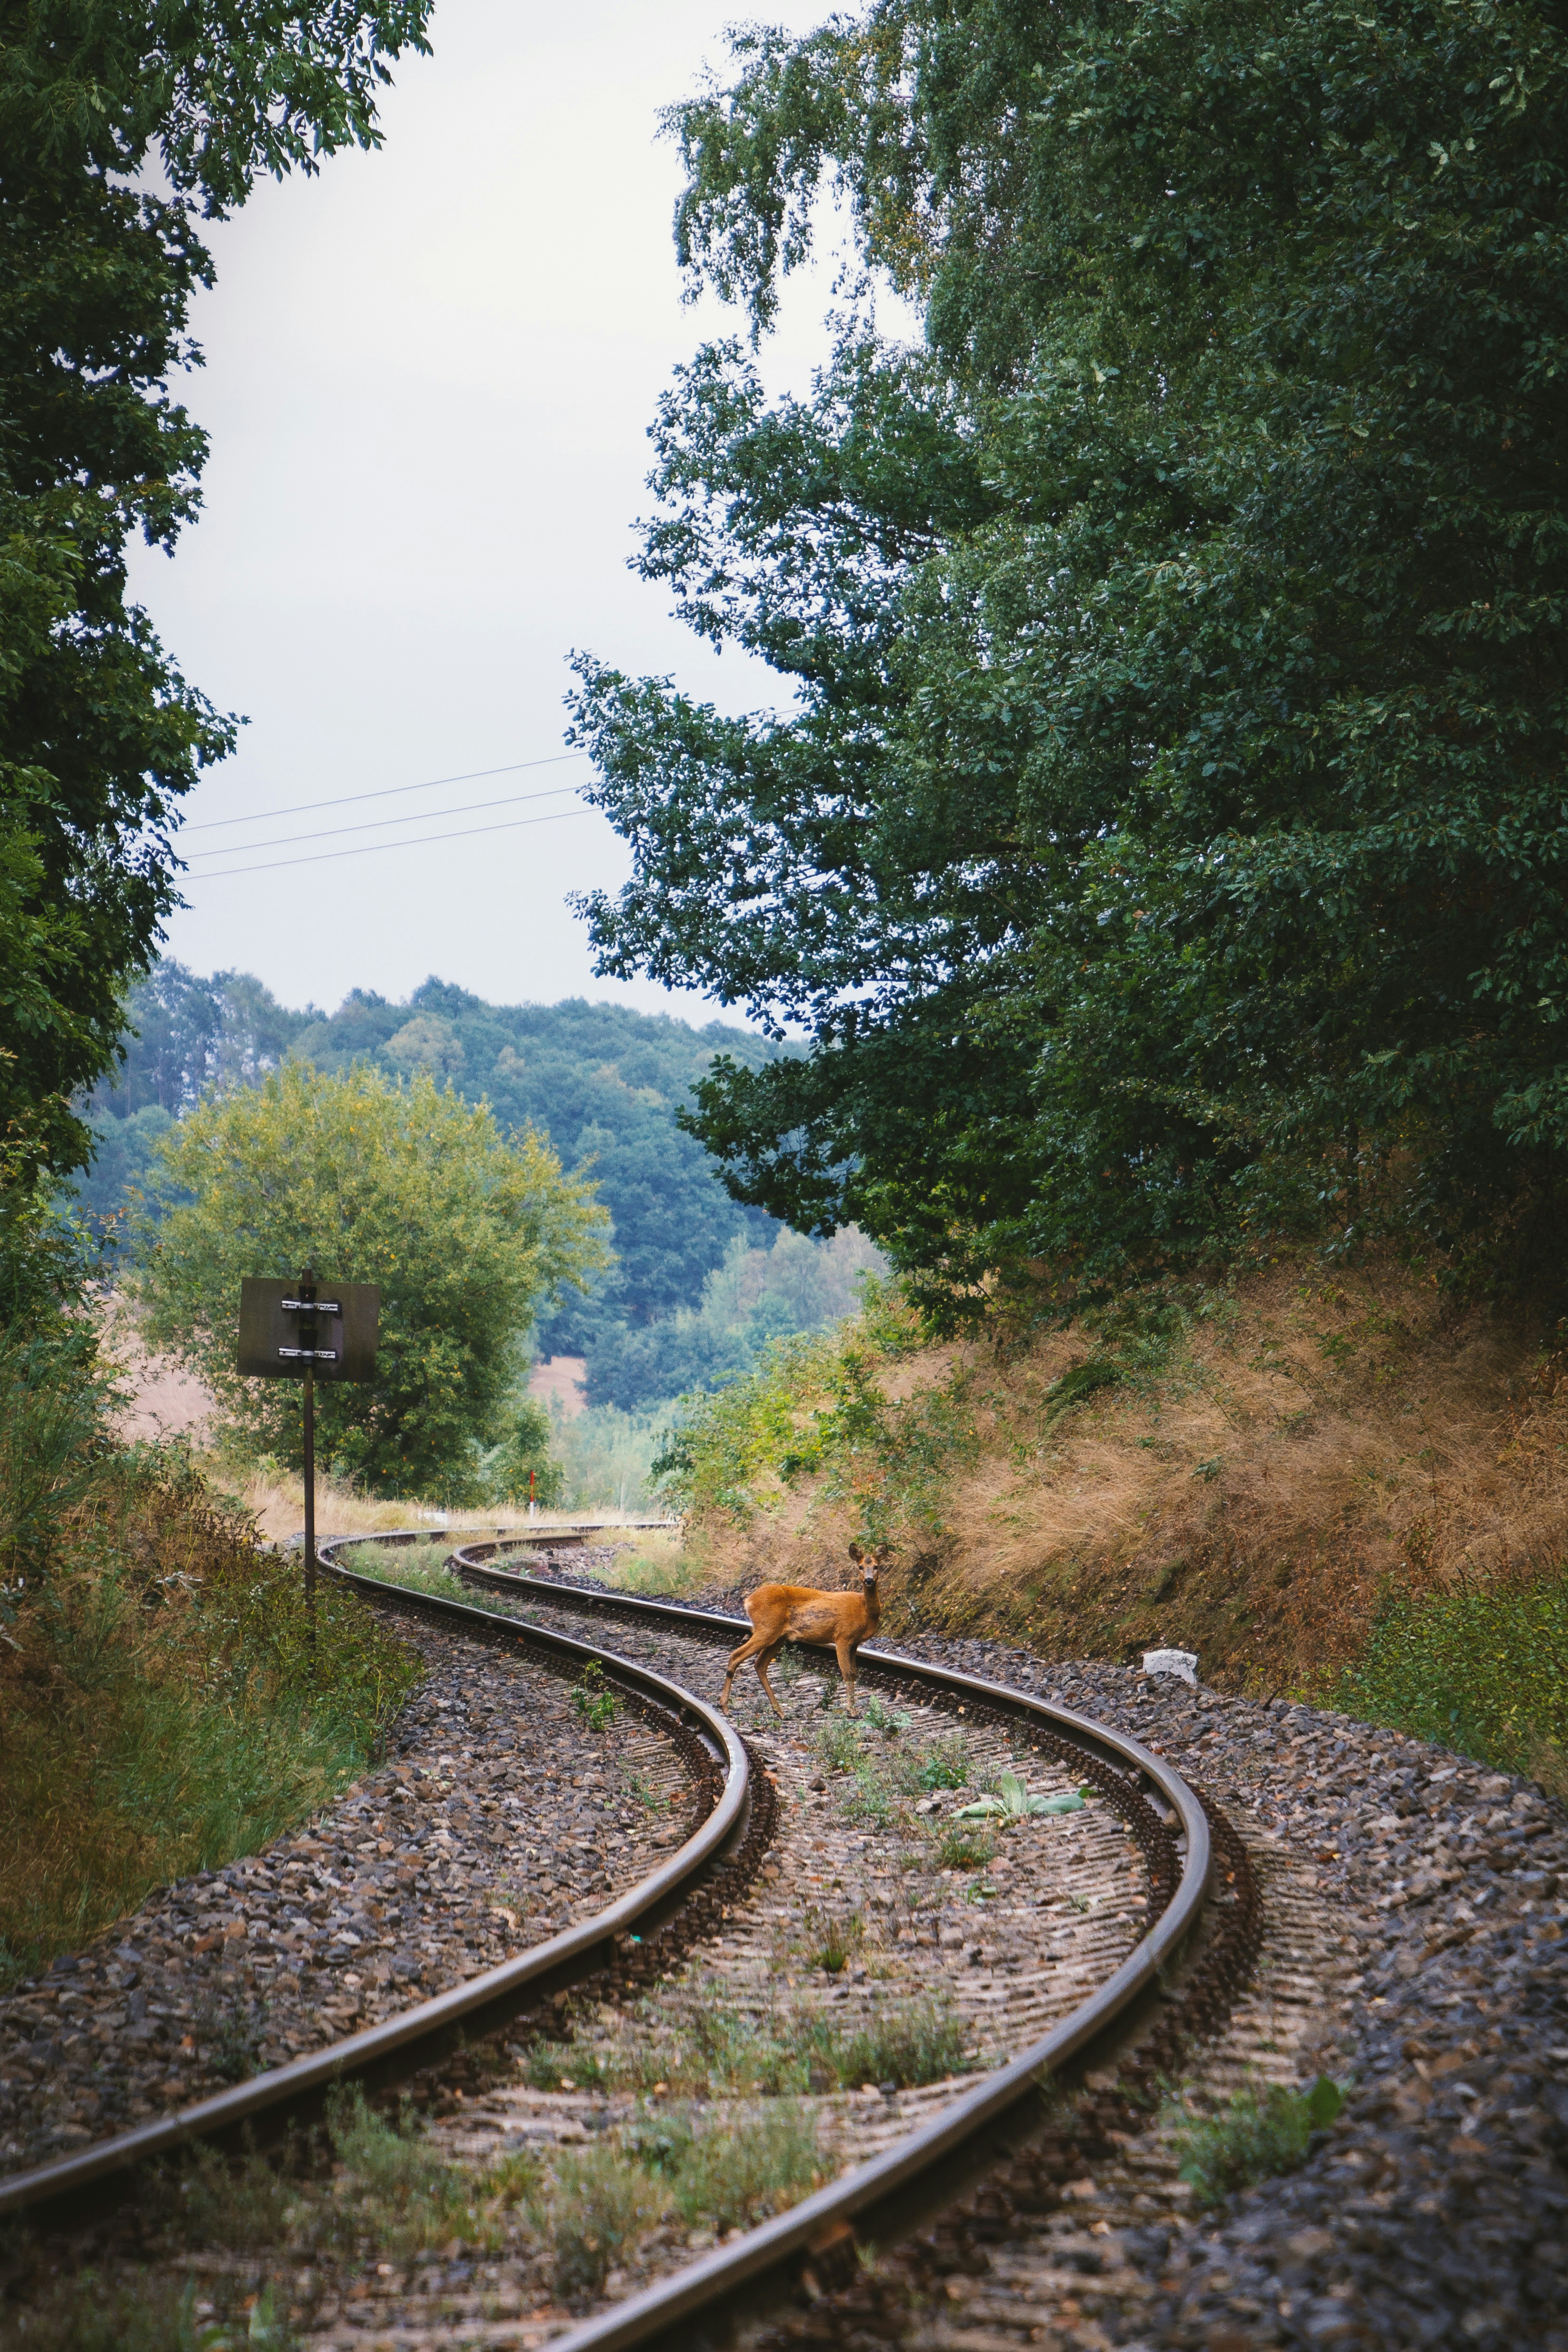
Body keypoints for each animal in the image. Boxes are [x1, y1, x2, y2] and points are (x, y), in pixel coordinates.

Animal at [719, 1543, 890, 1719]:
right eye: (860, 1567)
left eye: (877, 1566)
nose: (869, 1580)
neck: (864, 1611)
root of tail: (749, 1601)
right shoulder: (843, 1636)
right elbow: (847, 1673)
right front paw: (852, 1711)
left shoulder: (855, 1642)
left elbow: (854, 1673)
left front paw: (853, 1709)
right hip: (766, 1629)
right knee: (736, 1656)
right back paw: (725, 1707)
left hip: (778, 1636)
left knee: (760, 1665)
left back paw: (779, 1711)